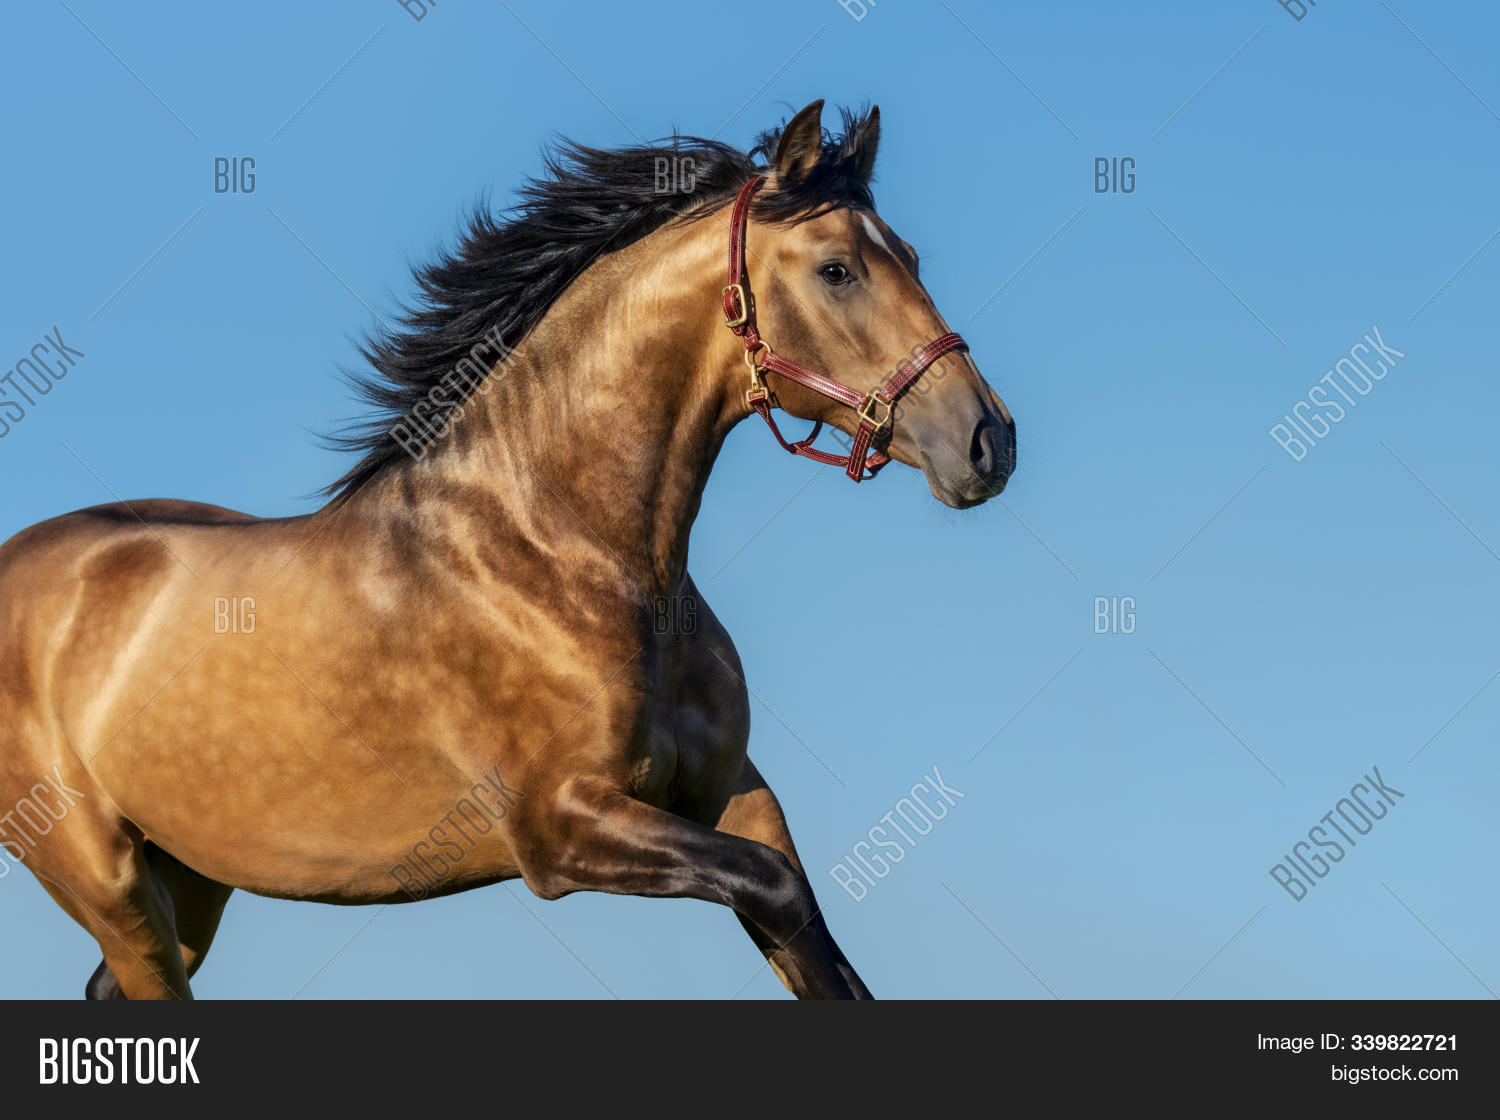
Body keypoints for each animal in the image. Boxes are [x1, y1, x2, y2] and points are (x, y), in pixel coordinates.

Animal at [0, 100, 1015, 999]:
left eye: (910, 257)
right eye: (839, 269)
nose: (987, 441)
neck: (563, 548)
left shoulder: (733, 794)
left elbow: (811, 936)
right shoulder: (560, 827)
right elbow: (777, 891)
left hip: (193, 877)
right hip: (105, 879)